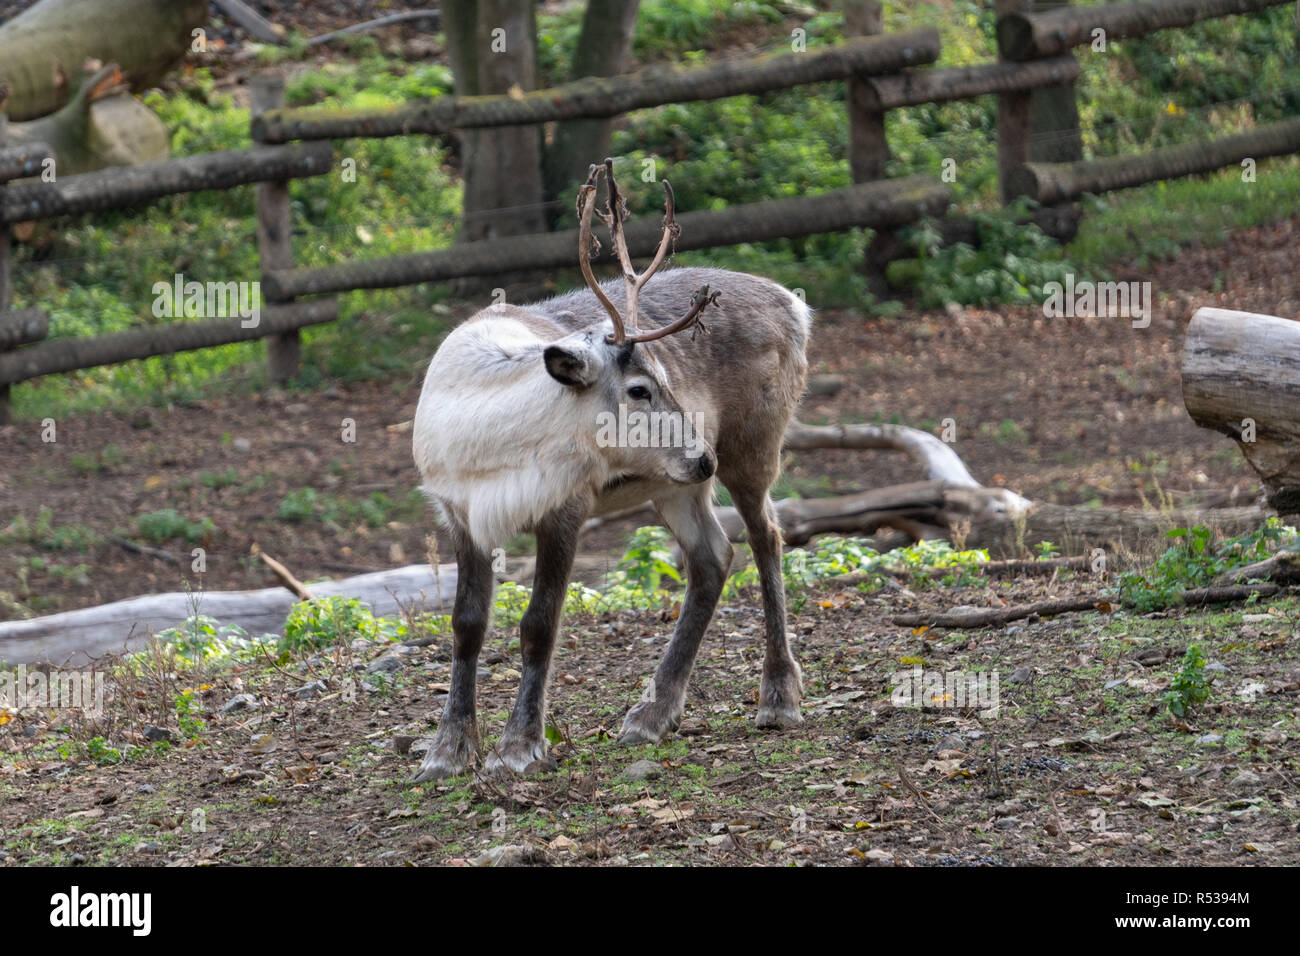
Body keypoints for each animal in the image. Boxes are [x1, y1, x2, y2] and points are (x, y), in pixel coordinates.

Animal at [410, 160, 810, 782]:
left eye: (666, 378)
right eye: (640, 388)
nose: (704, 456)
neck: (491, 446)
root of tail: (795, 306)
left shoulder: (566, 508)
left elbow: (538, 625)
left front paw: (518, 745)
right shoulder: (458, 513)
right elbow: (466, 625)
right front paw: (447, 748)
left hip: (754, 446)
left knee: (767, 537)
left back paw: (778, 696)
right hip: (674, 486)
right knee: (714, 555)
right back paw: (653, 713)